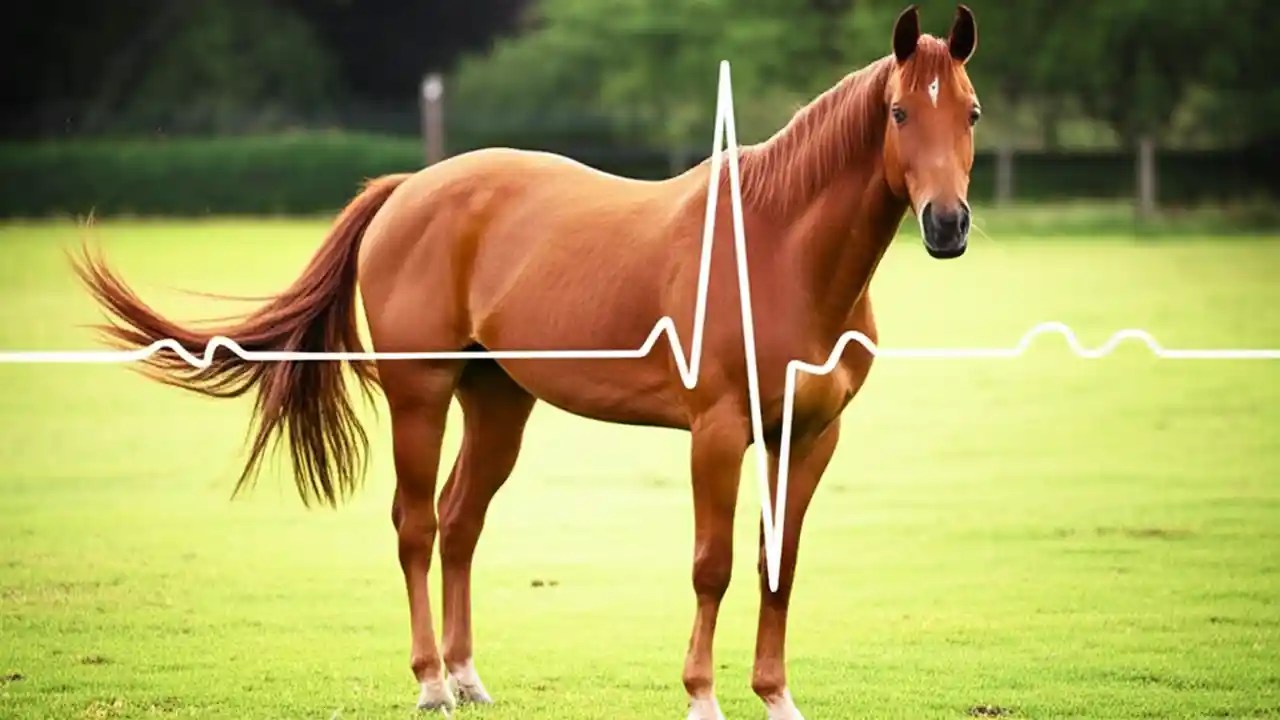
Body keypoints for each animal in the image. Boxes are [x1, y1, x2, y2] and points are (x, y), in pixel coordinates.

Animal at [75, 5, 980, 718]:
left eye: (969, 112)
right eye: (899, 112)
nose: (947, 225)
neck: (777, 250)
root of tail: (408, 190)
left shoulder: (811, 435)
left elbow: (777, 564)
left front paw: (777, 697)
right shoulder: (717, 433)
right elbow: (713, 565)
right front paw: (701, 696)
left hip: (498, 402)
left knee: (460, 521)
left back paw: (468, 677)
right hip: (420, 394)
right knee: (415, 524)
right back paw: (430, 682)